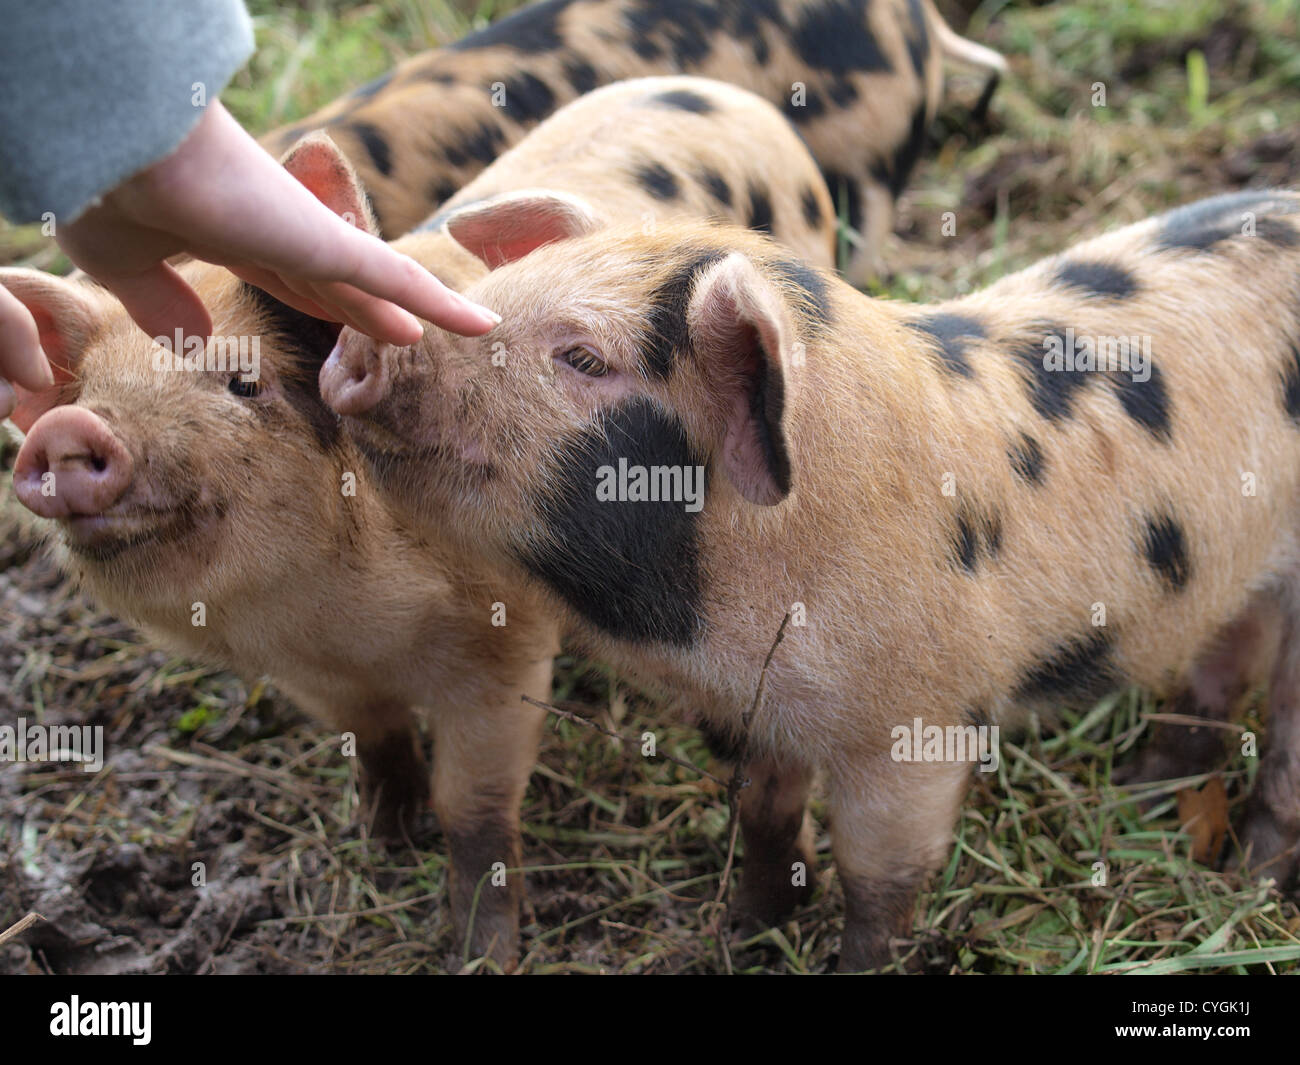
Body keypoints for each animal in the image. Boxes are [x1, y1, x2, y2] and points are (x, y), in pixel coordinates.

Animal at [2, 71, 842, 967]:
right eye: (92, 388)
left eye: (243, 383)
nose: (71, 427)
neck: (327, 617)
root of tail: (727, 96)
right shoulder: (315, 681)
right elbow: (377, 744)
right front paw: (381, 837)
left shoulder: (501, 652)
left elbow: (471, 806)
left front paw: (484, 951)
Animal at [322, 189, 1300, 970]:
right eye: (489, 296)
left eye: (585, 358)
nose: (364, 342)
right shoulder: (754, 707)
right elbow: (762, 816)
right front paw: (746, 932)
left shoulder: (918, 724)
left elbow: (880, 880)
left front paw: (847, 959)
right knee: (1232, 648)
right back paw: (1149, 785)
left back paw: (1254, 877)